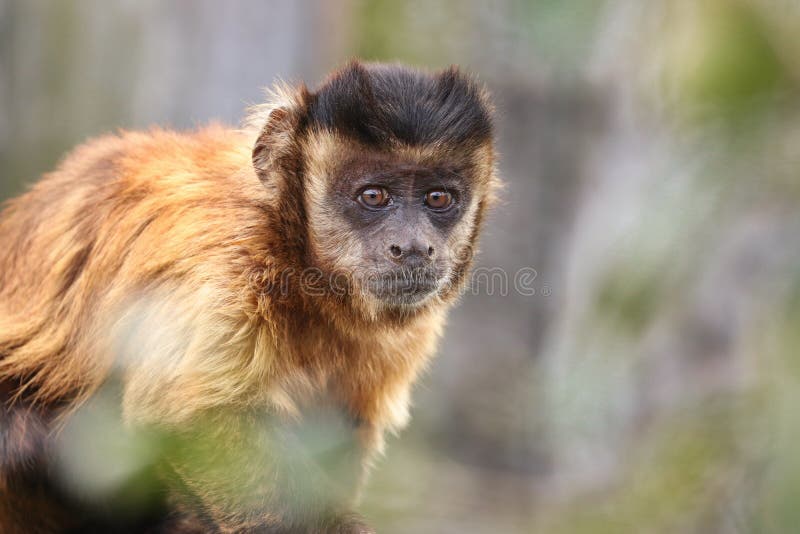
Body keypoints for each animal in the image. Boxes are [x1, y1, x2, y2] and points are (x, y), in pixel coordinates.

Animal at [0, 60, 498, 533]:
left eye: (438, 199)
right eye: (374, 196)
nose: (413, 247)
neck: (296, 257)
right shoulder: (223, 259)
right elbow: (193, 417)